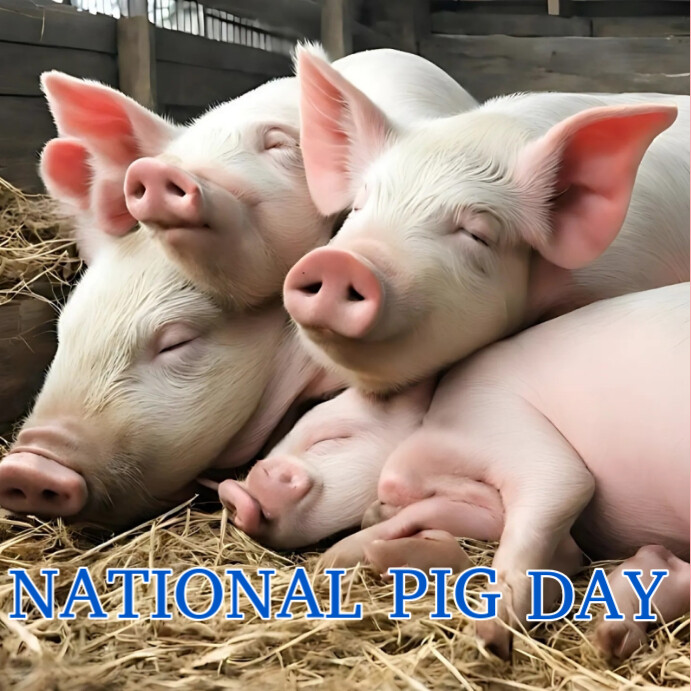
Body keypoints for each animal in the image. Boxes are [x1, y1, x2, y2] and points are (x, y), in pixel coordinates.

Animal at [320, 282, 690, 660]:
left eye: (335, 436)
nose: (387, 488)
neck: (443, 416)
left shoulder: (507, 425)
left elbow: (566, 484)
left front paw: (490, 639)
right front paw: (340, 555)